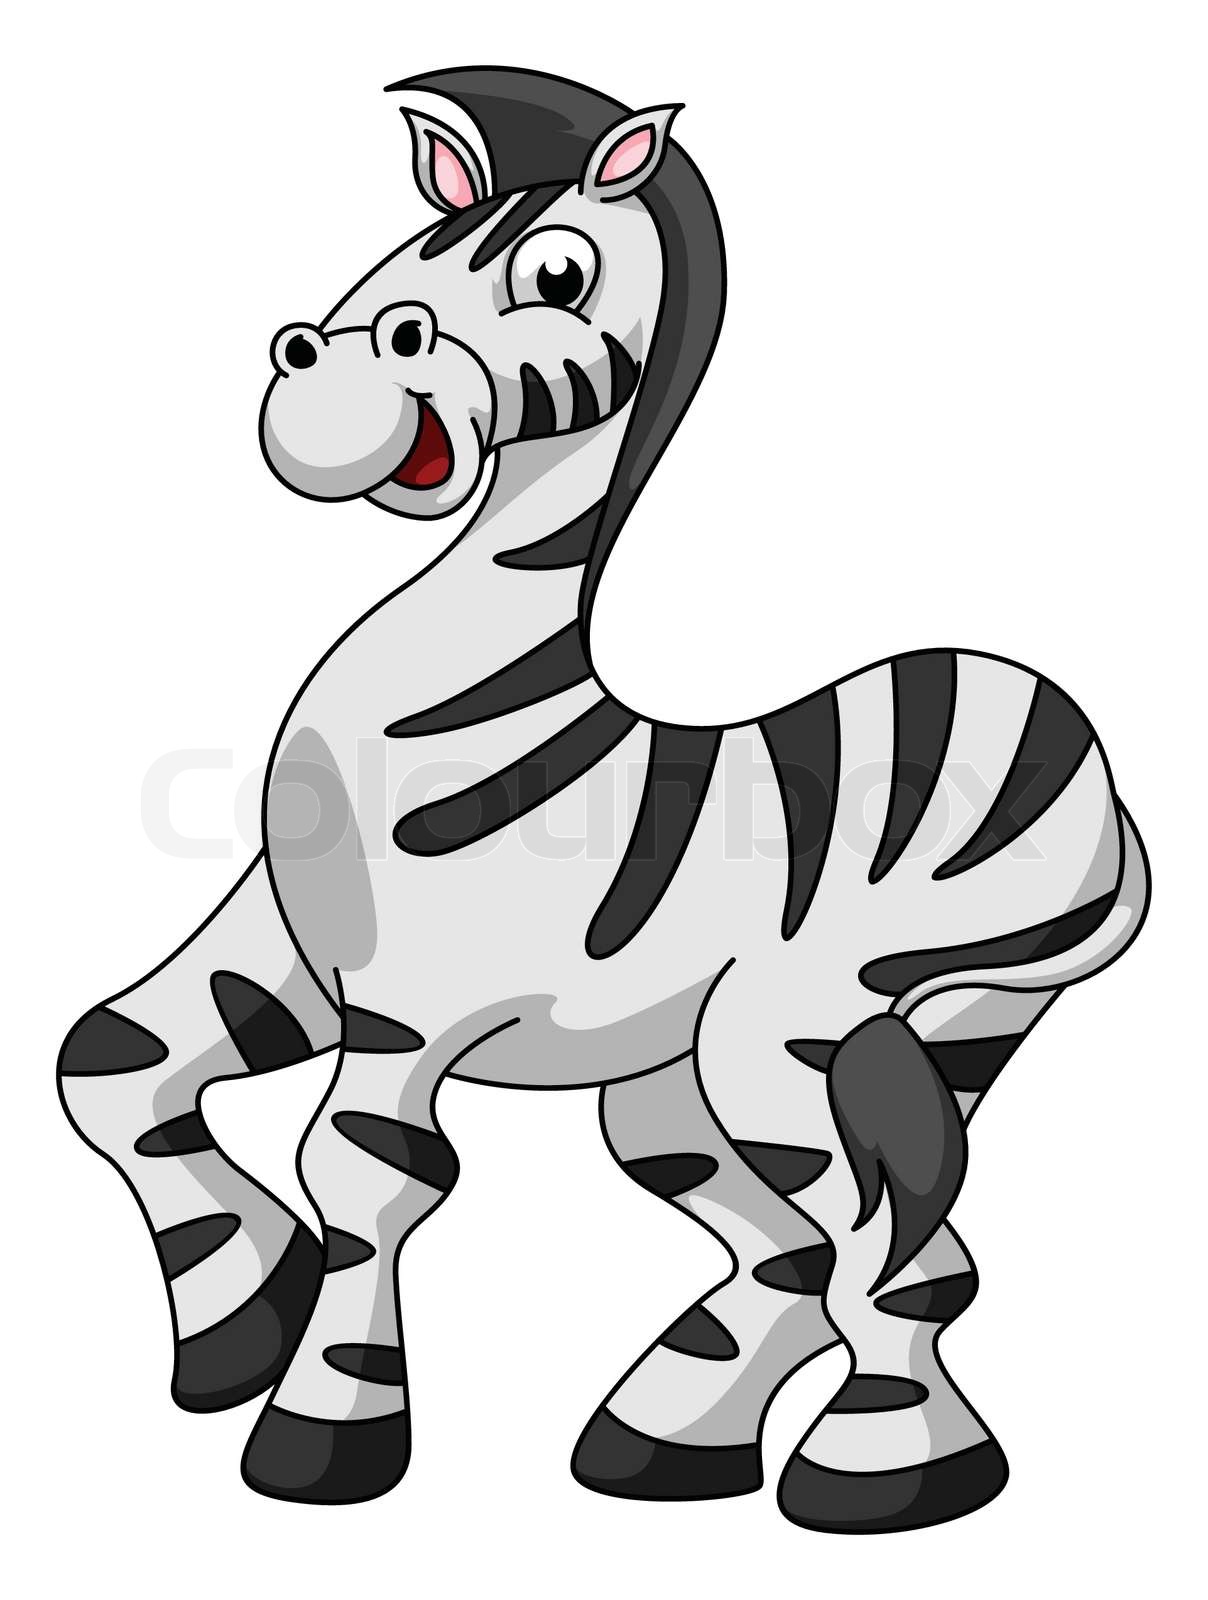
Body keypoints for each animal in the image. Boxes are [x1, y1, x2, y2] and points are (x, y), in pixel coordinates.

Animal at [58, 66, 1150, 1530]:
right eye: (413, 251)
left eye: (560, 273)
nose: (316, 365)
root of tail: (1078, 751)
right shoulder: (288, 954)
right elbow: (108, 1060)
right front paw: (240, 1315)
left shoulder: (411, 1008)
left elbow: (361, 1174)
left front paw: (323, 1440)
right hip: (691, 1082)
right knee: (801, 1253)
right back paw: (666, 1443)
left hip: (807, 1036)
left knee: (892, 1251)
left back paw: (884, 1477)